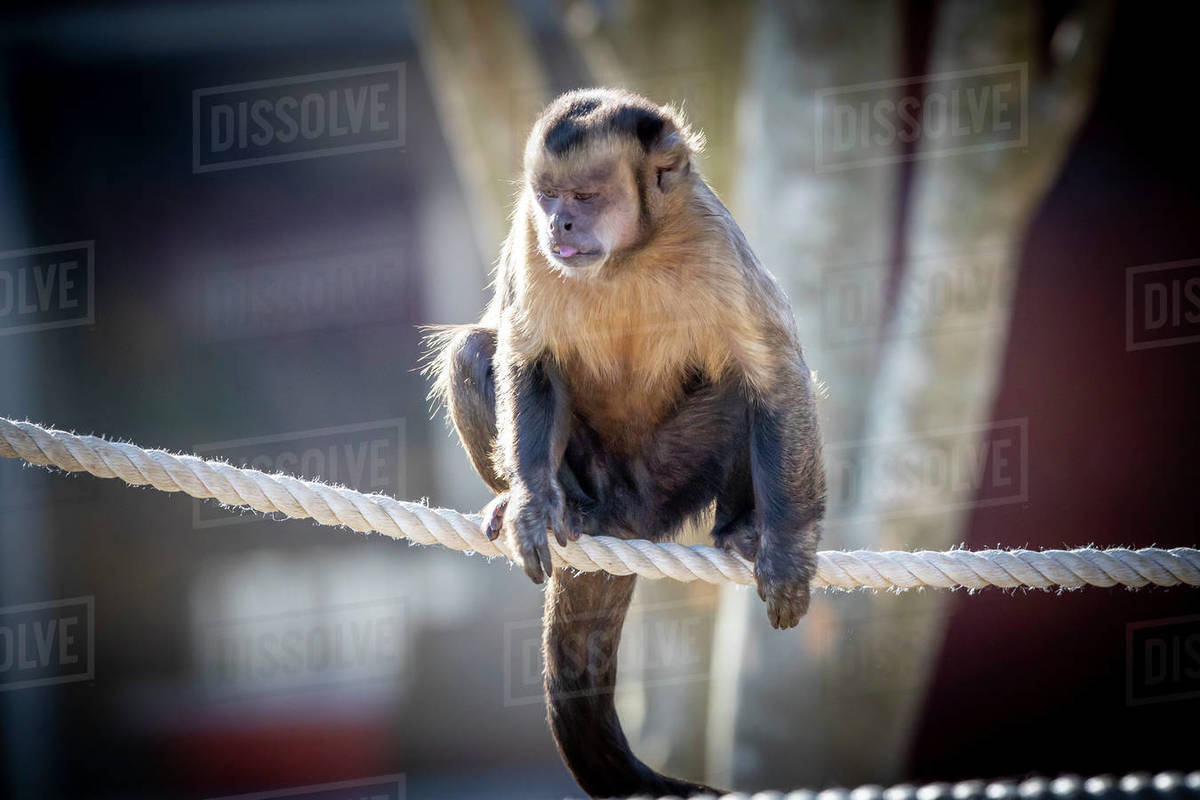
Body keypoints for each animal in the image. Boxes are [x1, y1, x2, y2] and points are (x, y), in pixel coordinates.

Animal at [426, 88, 825, 799]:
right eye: (550, 197)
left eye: (584, 197)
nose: (561, 224)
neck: (628, 254)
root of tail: (624, 510)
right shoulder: (528, 237)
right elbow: (528, 358)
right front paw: (530, 507)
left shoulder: (712, 238)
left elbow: (778, 376)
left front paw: (787, 546)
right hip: (593, 474)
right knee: (475, 349)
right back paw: (557, 507)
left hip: (668, 483)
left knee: (741, 382)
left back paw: (743, 528)